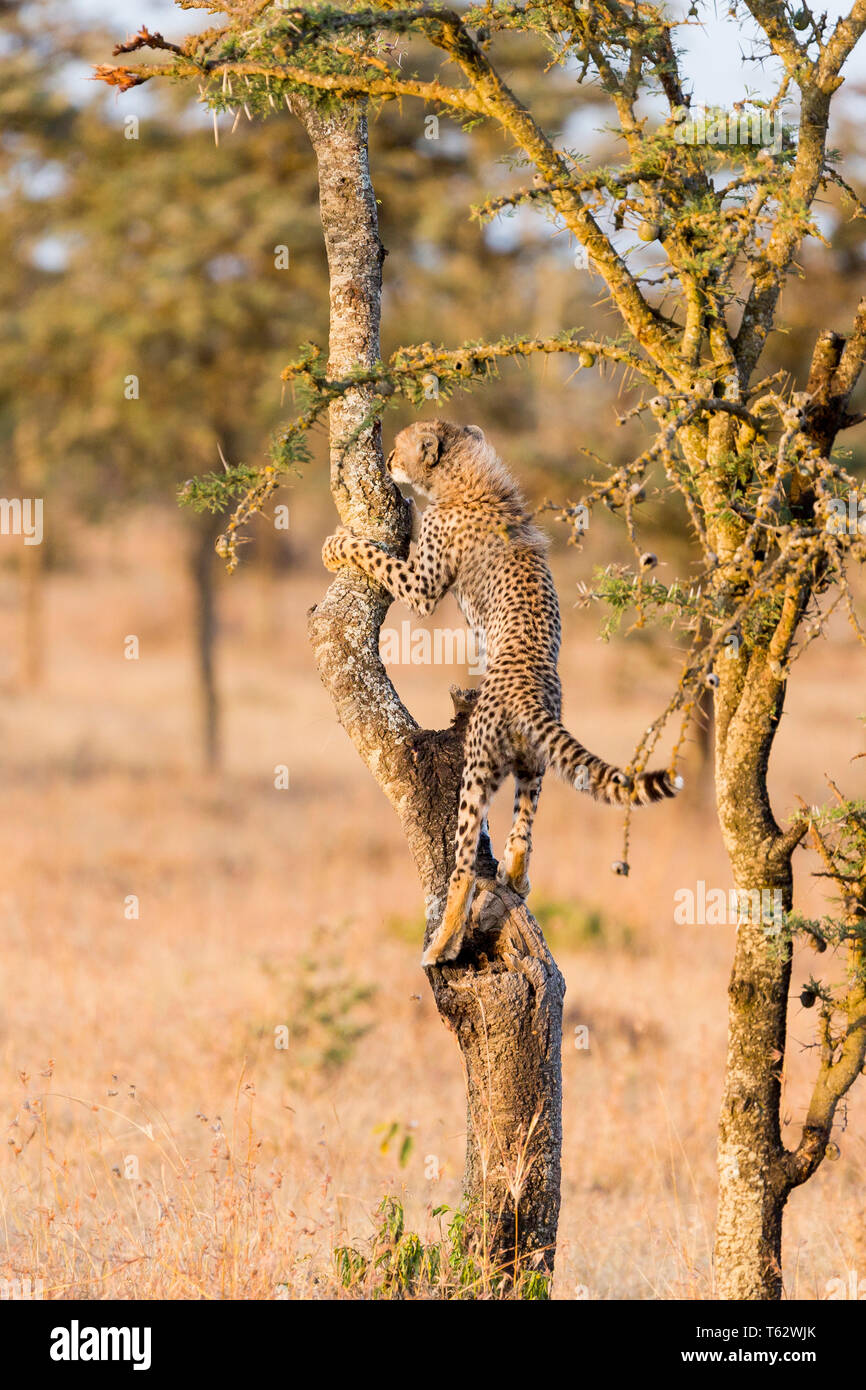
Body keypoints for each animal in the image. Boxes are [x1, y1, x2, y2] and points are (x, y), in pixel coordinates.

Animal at [322, 420, 682, 967]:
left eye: (400, 445)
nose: (386, 462)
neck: (466, 477)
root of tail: (529, 689)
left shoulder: (422, 586)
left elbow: (375, 556)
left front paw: (337, 544)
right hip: (532, 760)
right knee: (525, 822)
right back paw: (515, 873)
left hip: (476, 767)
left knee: (464, 863)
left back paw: (444, 942)